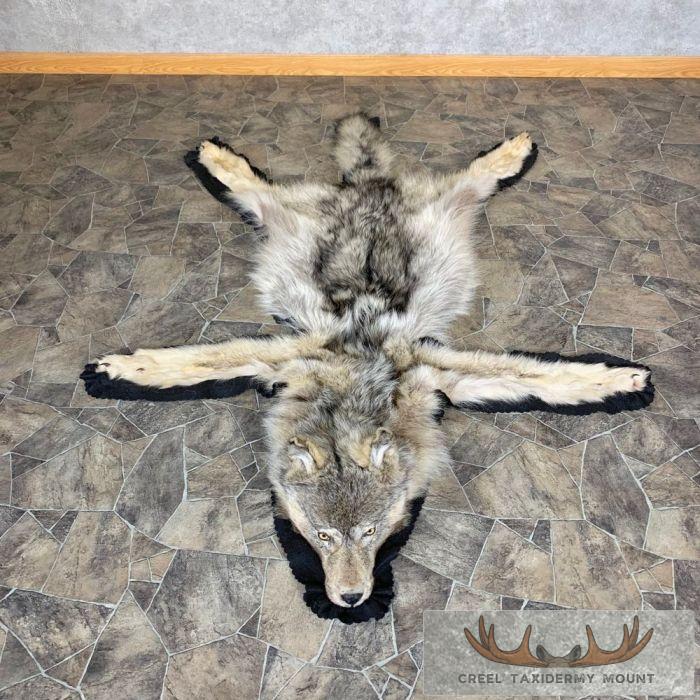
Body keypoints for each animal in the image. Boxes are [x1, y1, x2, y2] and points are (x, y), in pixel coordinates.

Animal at [82, 114, 653, 615]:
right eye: (324, 536)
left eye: (370, 532)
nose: (352, 597)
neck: (356, 387)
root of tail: (366, 185)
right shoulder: (288, 357)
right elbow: (193, 364)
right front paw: (117, 370)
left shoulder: (434, 372)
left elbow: (548, 376)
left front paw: (623, 378)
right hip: (277, 216)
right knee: (254, 186)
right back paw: (215, 158)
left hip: (450, 206)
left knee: (476, 175)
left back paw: (514, 152)